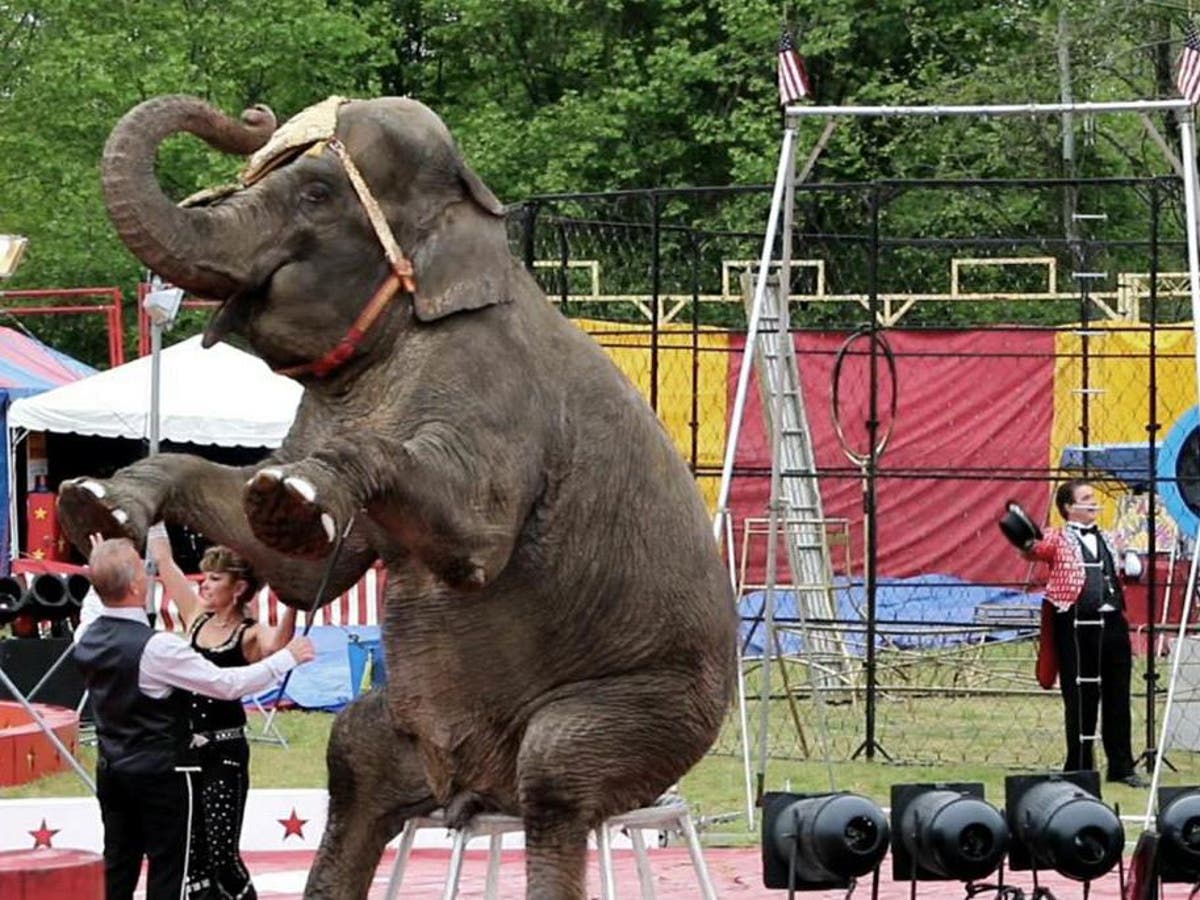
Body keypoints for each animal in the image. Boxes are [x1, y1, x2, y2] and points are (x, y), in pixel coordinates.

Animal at [58, 94, 738, 899]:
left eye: (316, 194)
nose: (253, 115)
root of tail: (482, 794)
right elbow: (308, 569)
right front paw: (99, 503)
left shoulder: (501, 392)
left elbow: (475, 542)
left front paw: (293, 494)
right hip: (415, 739)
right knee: (353, 758)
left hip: (657, 712)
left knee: (557, 775)